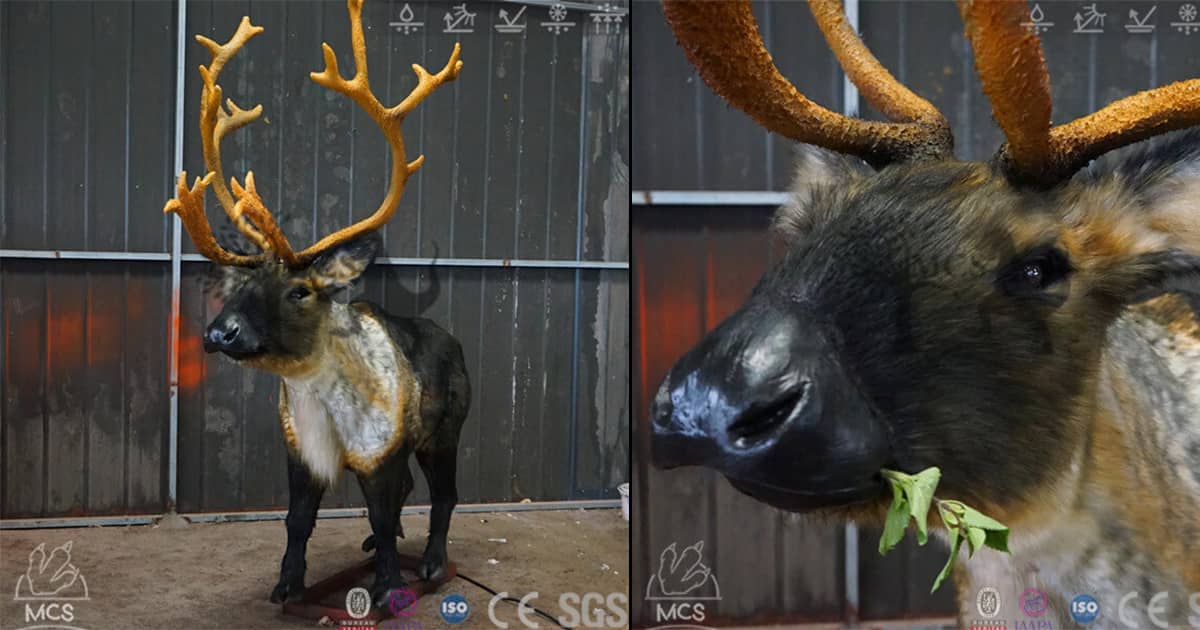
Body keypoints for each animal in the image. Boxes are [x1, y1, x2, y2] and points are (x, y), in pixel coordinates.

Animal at [161, 0, 469, 608]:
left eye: (301, 290)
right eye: (239, 284)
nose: (219, 333)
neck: (322, 406)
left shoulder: (382, 452)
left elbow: (383, 513)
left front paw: (388, 588)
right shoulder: (299, 452)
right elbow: (297, 520)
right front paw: (286, 585)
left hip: (447, 429)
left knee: (444, 493)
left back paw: (429, 563)